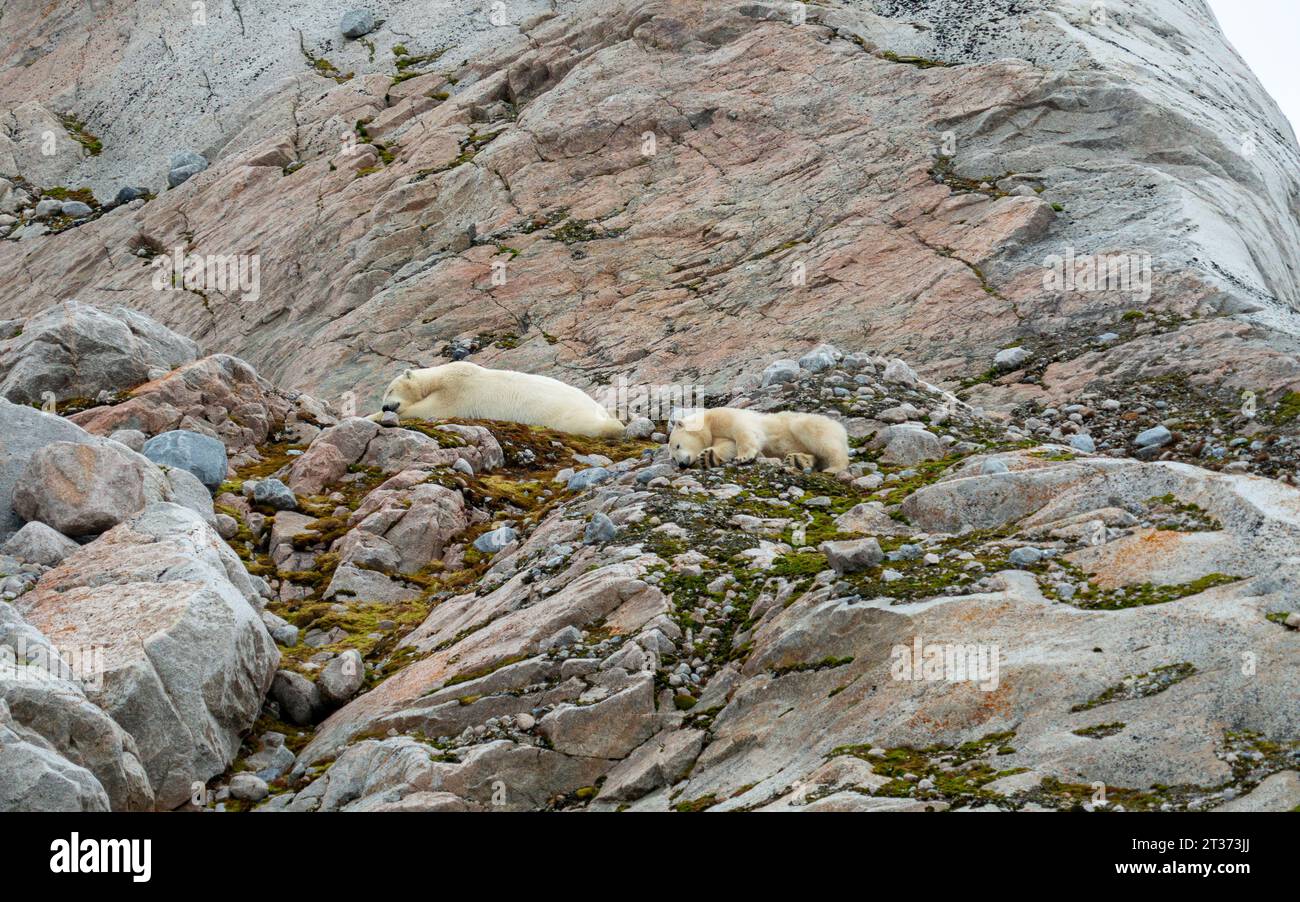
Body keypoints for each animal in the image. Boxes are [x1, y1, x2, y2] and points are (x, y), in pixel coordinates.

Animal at [369, 362, 627, 438]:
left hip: (565, 414)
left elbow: (427, 409)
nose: (384, 404)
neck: (440, 377)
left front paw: (374, 415)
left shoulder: (457, 392)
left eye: (389, 390)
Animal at [668, 407, 850, 473]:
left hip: (809, 424)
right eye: (673, 458)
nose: (682, 464)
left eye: (677, 445)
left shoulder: (725, 415)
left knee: (818, 437)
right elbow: (727, 445)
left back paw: (833, 468)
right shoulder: (717, 434)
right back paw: (797, 460)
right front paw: (707, 457)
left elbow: (742, 430)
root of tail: (840, 428)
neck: (708, 422)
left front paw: (743, 457)